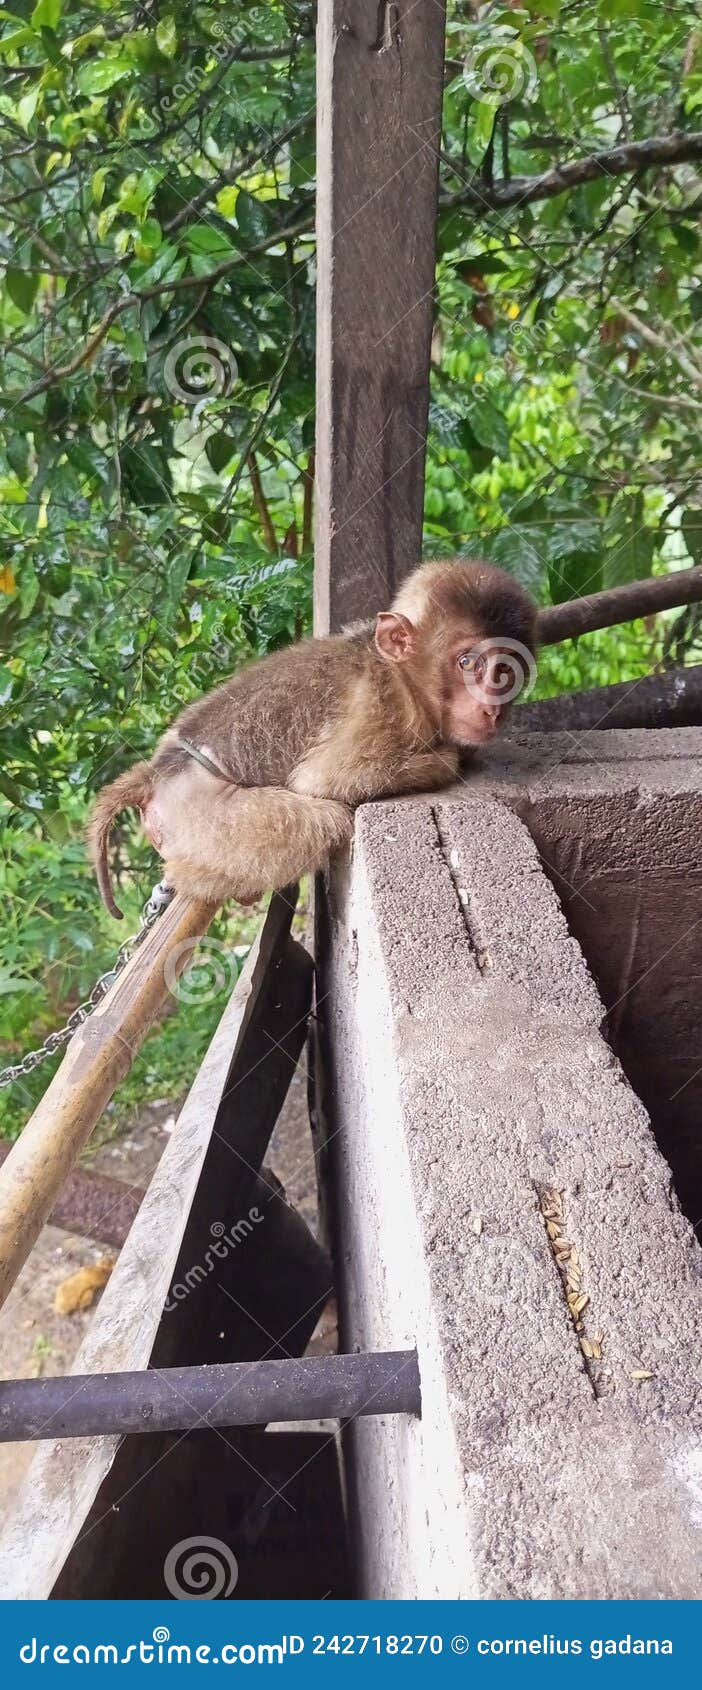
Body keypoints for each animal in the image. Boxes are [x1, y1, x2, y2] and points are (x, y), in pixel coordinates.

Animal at [88, 558, 537, 918]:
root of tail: (157, 771)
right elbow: (326, 780)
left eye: (506, 670)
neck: (402, 675)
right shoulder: (378, 706)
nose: (493, 706)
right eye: (467, 662)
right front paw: (447, 759)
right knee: (325, 820)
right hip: (201, 812)